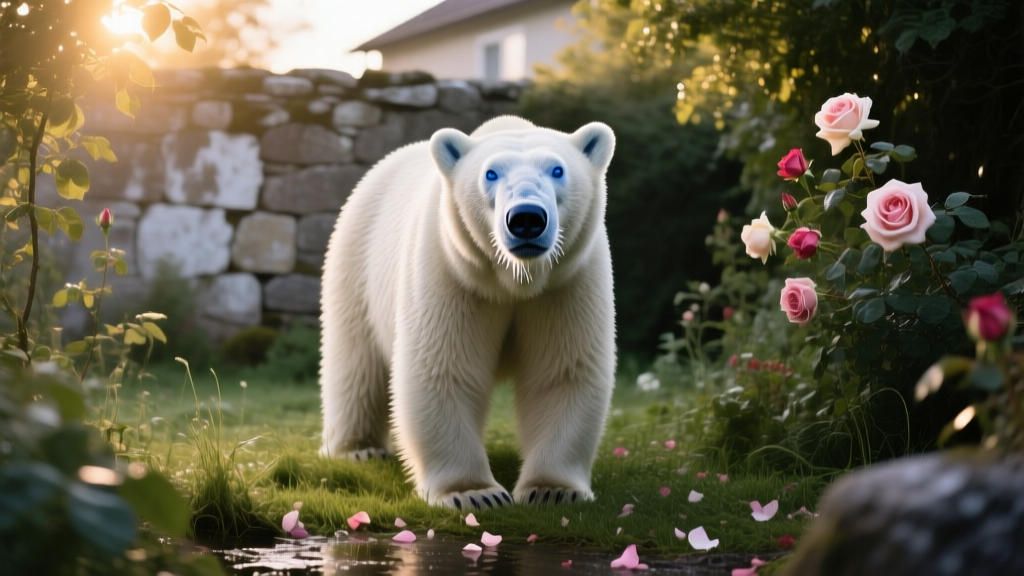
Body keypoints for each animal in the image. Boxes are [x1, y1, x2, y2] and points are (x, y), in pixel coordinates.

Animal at [319, 115, 616, 509]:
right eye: (490, 173)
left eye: (557, 169)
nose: (526, 218)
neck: (514, 280)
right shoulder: (451, 270)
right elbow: (444, 368)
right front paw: (473, 494)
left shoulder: (567, 281)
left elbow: (562, 371)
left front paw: (552, 490)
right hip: (355, 261)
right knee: (355, 360)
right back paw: (358, 449)